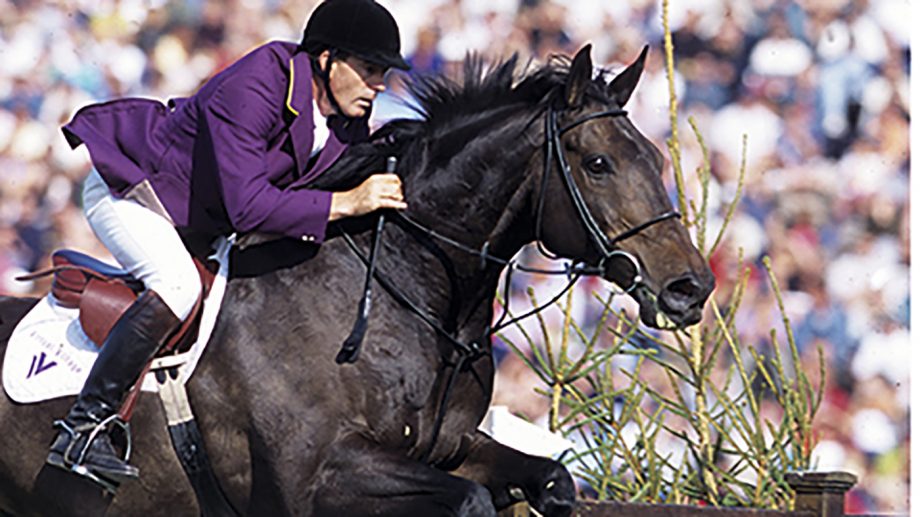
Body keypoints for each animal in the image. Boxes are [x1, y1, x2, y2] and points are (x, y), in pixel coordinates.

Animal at [0, 44, 713, 516]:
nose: (690, 289)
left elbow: (550, 481)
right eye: (598, 164)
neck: (408, 297)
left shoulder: (450, 448)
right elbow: (471, 502)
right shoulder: (321, 478)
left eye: (655, 156)